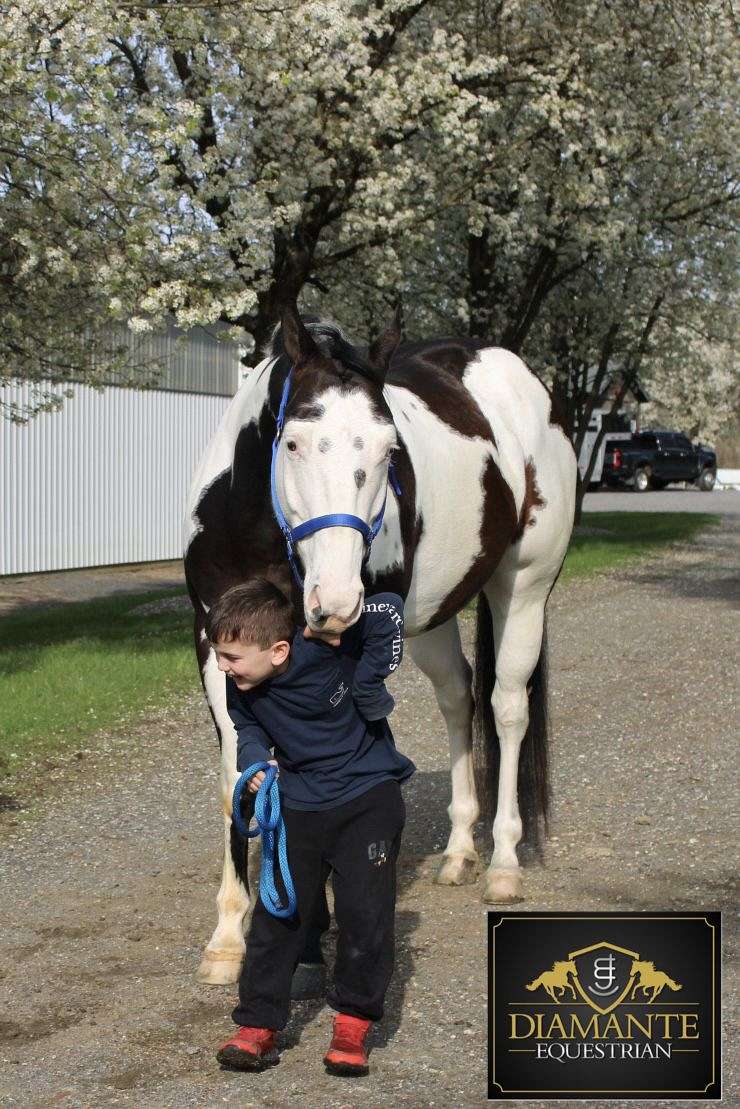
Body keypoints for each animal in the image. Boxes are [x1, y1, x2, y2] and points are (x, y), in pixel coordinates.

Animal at [183, 301, 576, 985]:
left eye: (391, 448)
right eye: (293, 442)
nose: (336, 600)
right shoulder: (214, 644)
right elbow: (242, 770)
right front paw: (230, 938)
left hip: (523, 589)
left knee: (506, 709)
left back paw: (502, 863)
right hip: (434, 617)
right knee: (458, 699)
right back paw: (458, 851)